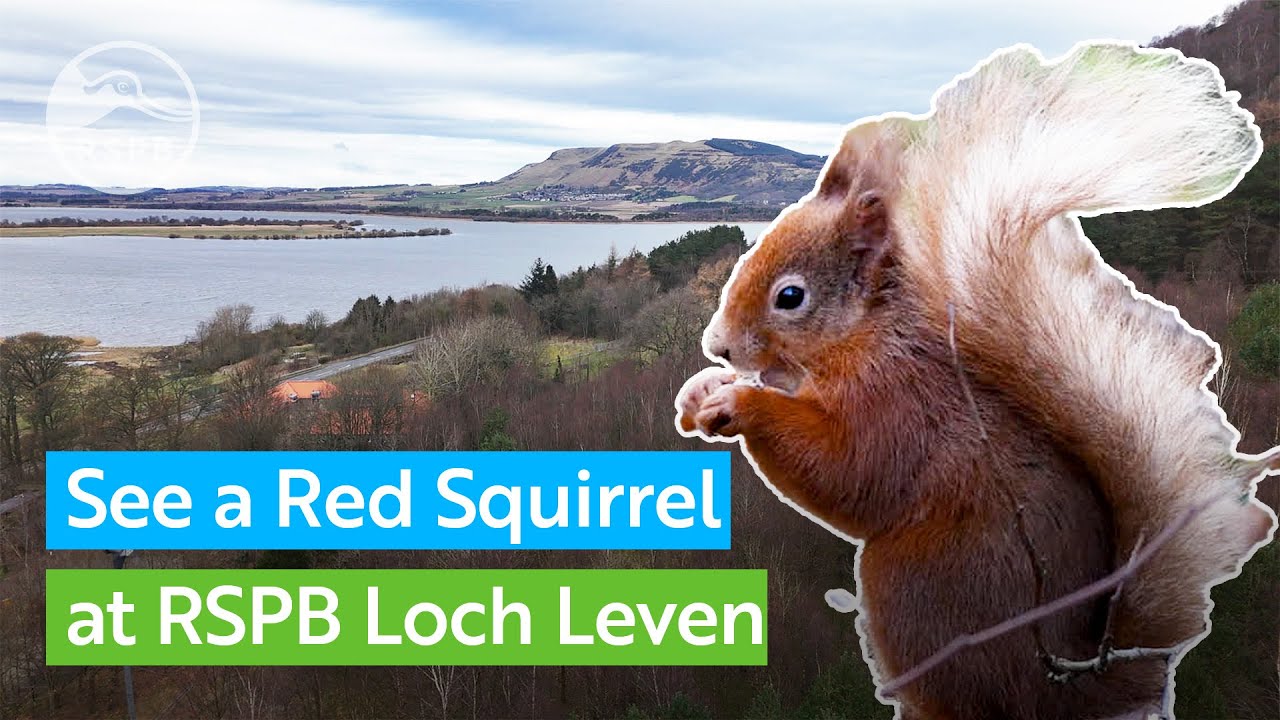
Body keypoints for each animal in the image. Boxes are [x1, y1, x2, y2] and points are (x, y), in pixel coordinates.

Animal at [676, 43, 1279, 720]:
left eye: (790, 297)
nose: (719, 345)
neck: (864, 334)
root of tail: (1068, 688)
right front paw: (700, 391)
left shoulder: (898, 399)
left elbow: (847, 472)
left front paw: (739, 401)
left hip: (928, 602)